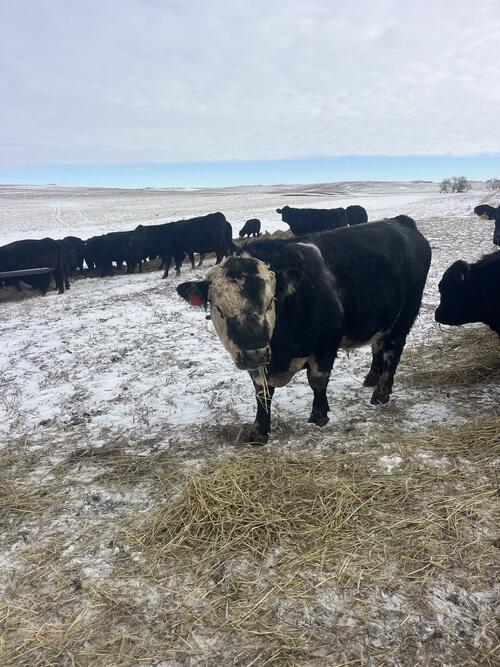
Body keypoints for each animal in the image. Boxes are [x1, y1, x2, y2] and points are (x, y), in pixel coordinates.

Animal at [177, 215, 431, 444]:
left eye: (269, 302)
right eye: (219, 309)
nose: (254, 353)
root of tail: (400, 222)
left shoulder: (326, 344)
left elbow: (318, 382)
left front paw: (319, 417)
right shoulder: (259, 363)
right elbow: (262, 393)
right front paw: (259, 431)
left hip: (405, 315)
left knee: (392, 350)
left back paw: (381, 393)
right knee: (378, 345)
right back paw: (371, 378)